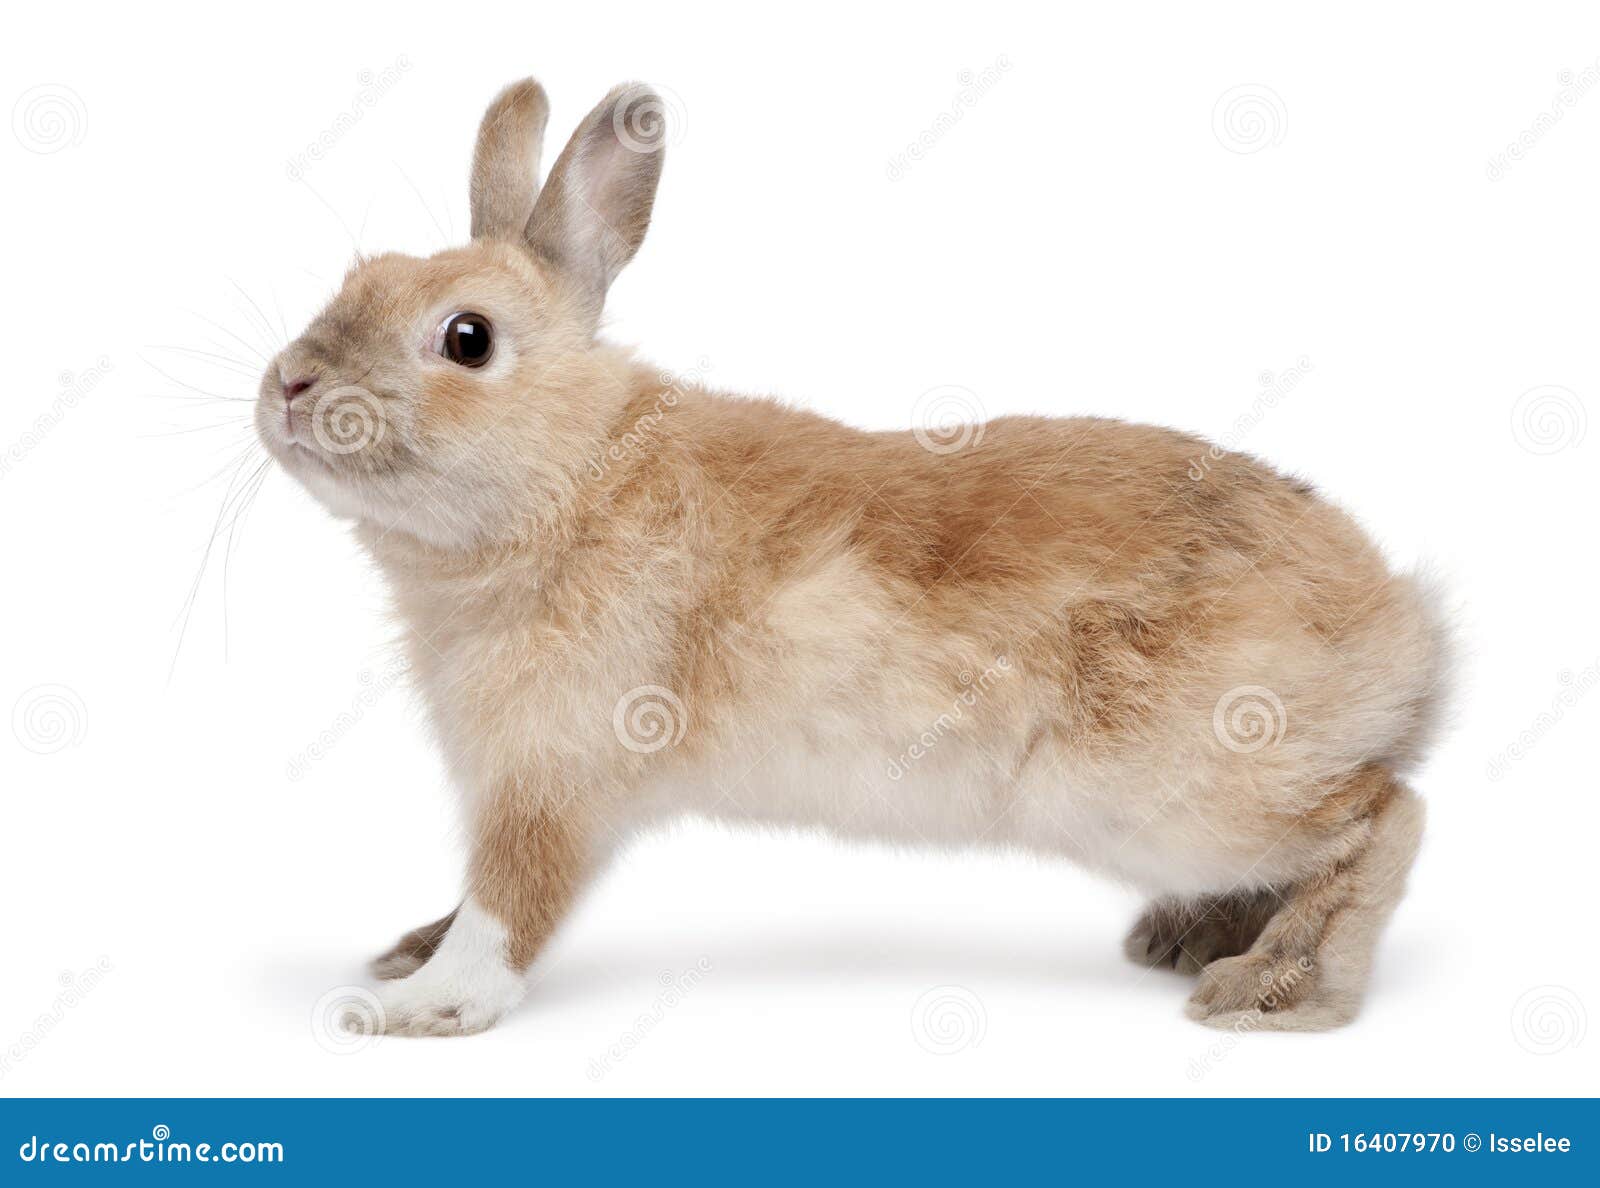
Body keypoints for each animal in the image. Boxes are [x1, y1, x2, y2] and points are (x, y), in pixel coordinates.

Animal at [255, 76, 1451, 1037]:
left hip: (1173, 799)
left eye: (468, 339)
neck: (577, 478)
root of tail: (1404, 635)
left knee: (1383, 817)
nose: (291, 386)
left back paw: (1275, 991)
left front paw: (411, 1009)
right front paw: (406, 954)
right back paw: (1191, 941)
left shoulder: (551, 779)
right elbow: (474, 898)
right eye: (357, 279)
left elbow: (509, 908)